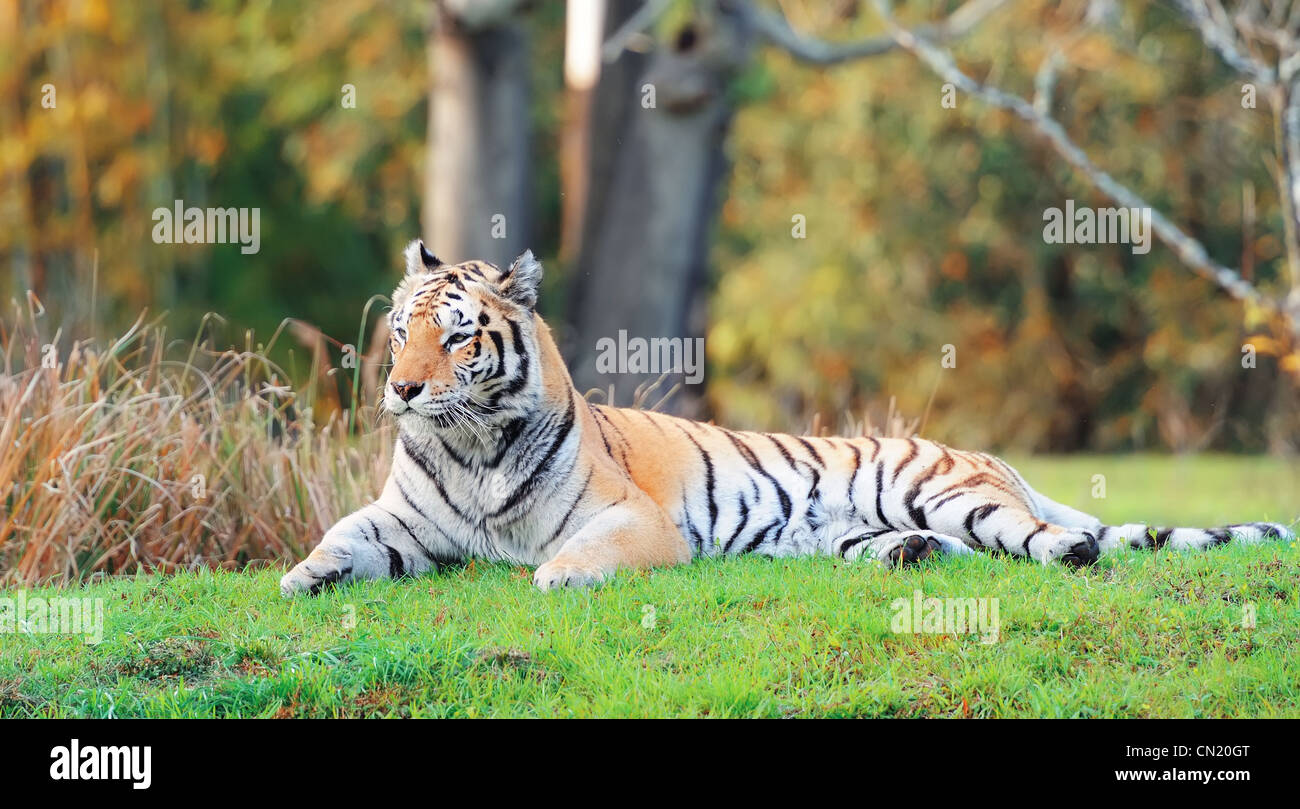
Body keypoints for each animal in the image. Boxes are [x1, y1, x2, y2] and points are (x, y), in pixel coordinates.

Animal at [279, 241, 1296, 595]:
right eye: (401, 331)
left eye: (455, 338)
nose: (403, 389)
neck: (472, 444)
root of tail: (990, 457)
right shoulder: (406, 519)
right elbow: (343, 535)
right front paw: (304, 575)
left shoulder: (632, 519)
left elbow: (575, 553)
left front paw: (555, 576)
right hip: (844, 533)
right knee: (946, 548)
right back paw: (910, 557)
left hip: (948, 490)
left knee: (1043, 537)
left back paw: (1069, 548)